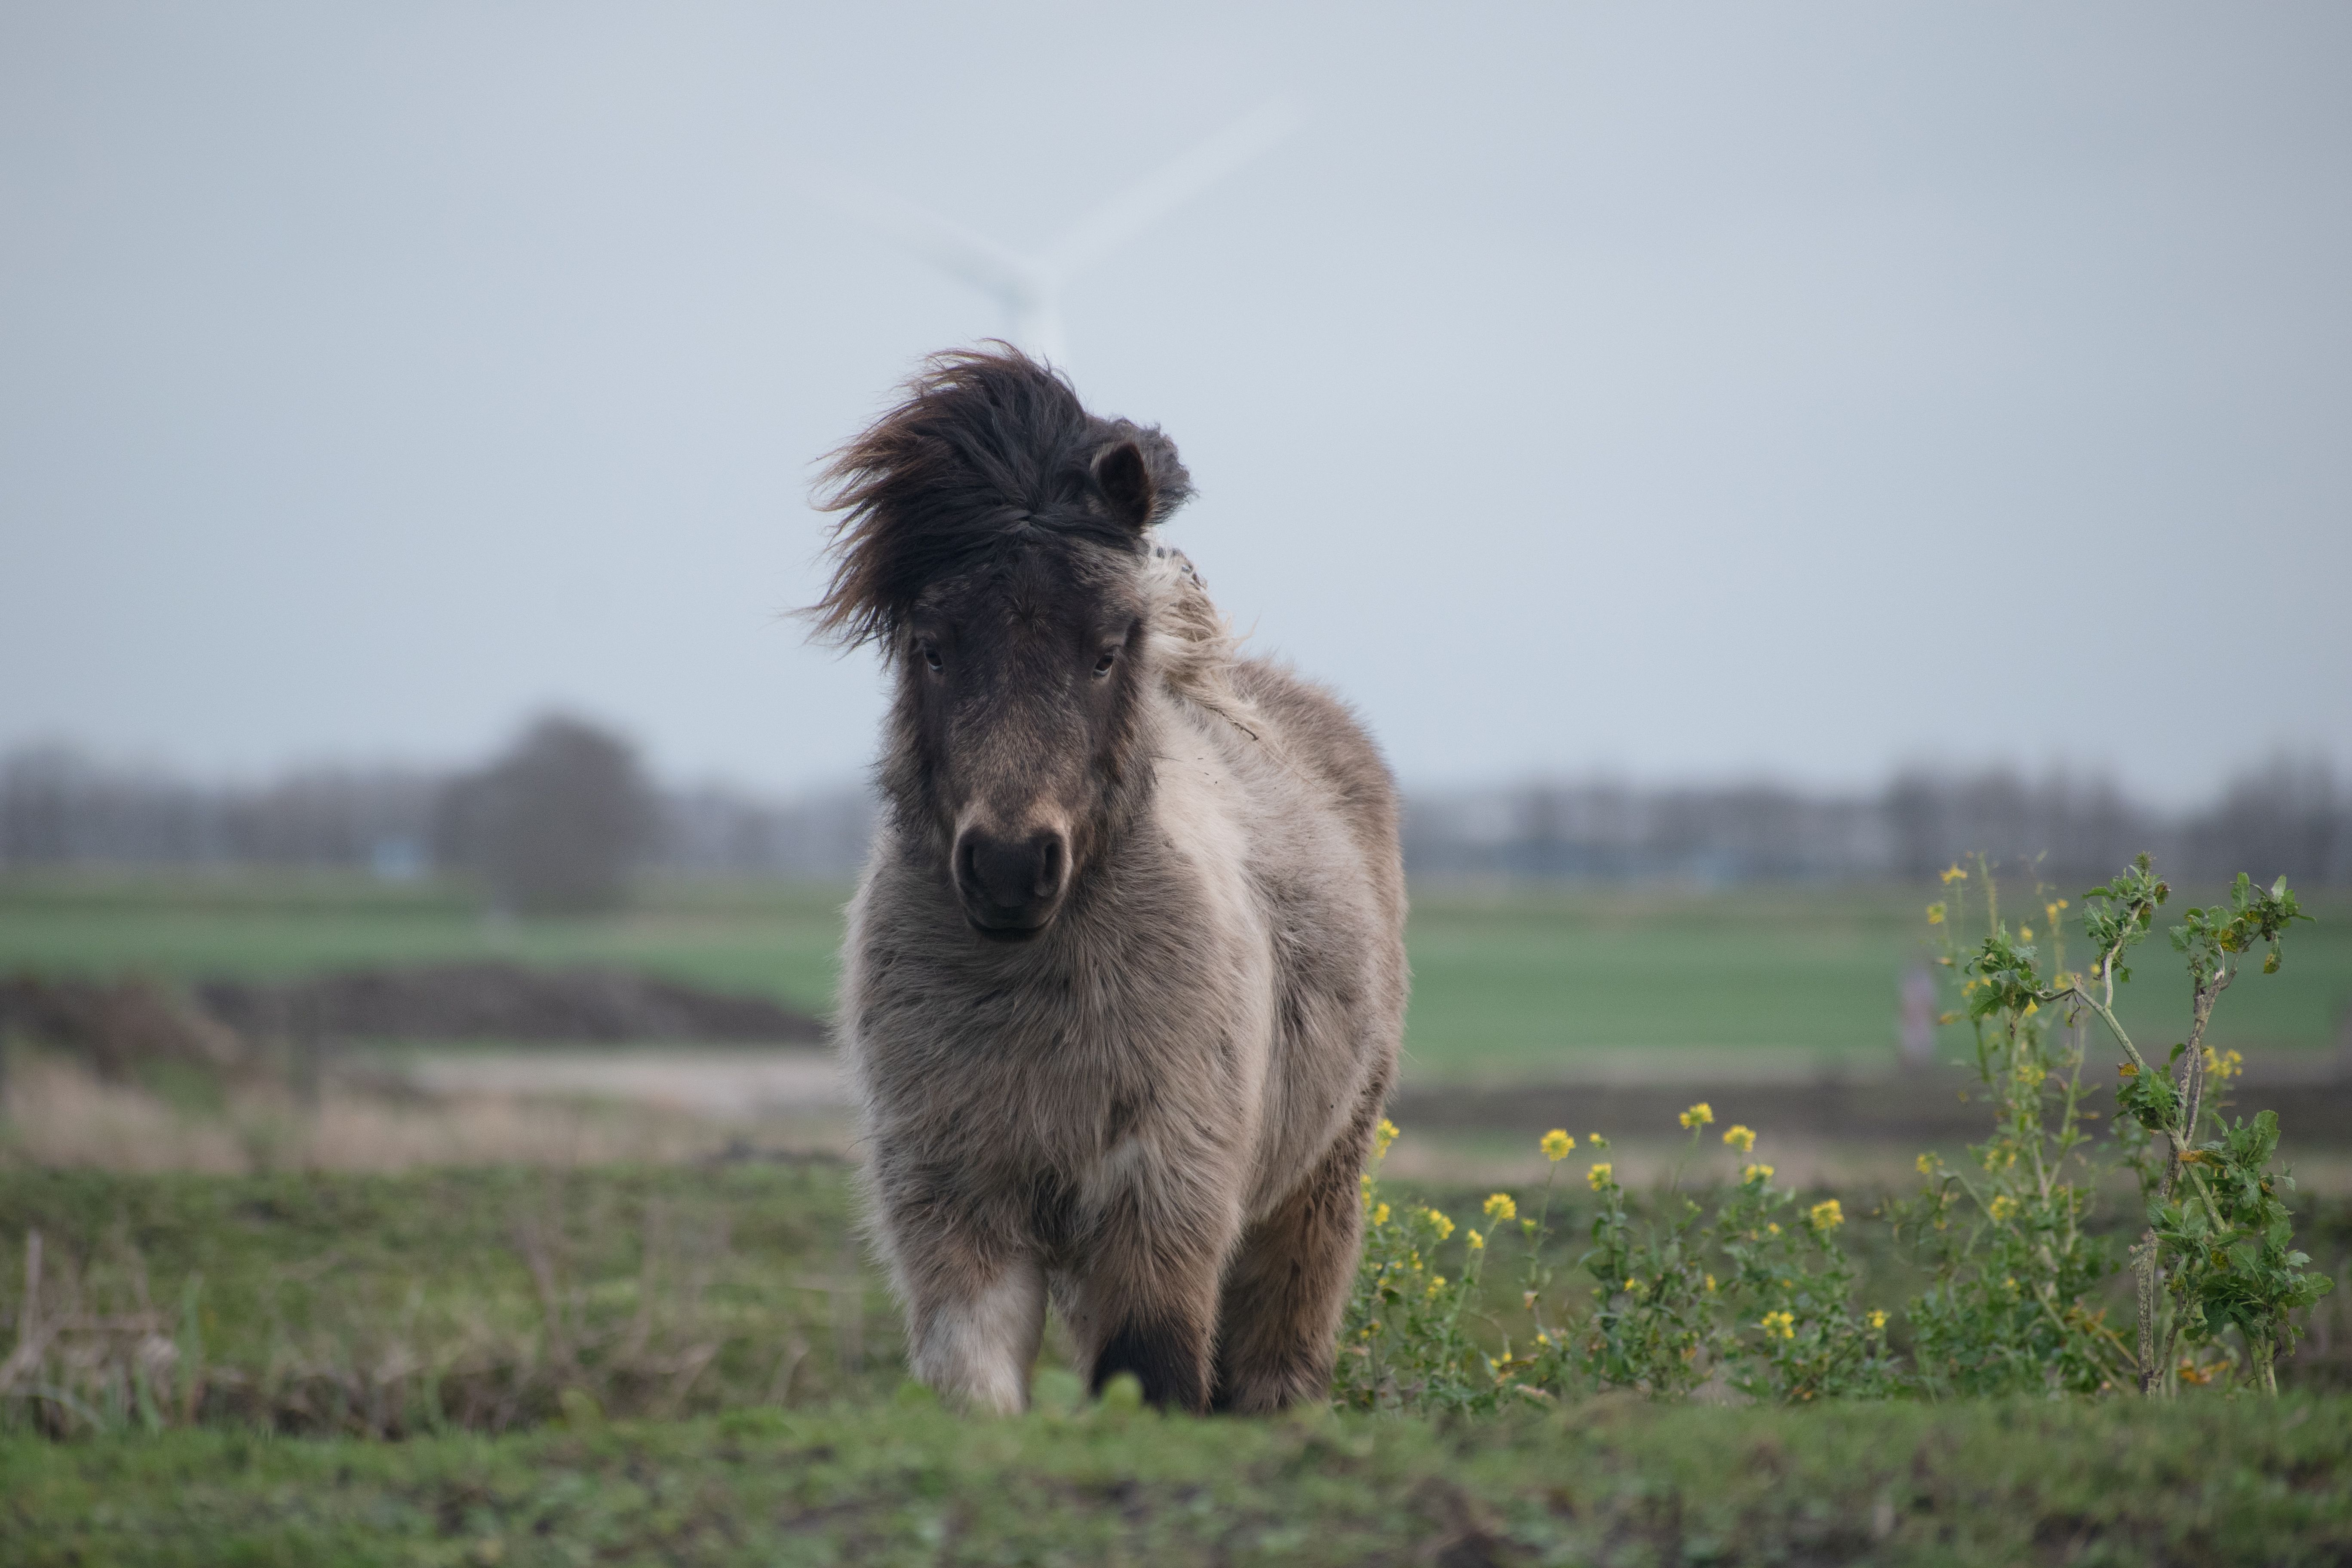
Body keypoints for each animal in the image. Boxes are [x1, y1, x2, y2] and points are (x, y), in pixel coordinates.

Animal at [809, 347, 1406, 1414]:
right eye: (931, 646)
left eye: (1105, 649)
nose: (1010, 867)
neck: (1036, 998)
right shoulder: (956, 1213)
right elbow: (977, 1389)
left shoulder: (1159, 1204)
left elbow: (1153, 1373)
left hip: (1316, 1188)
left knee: (1276, 1348)